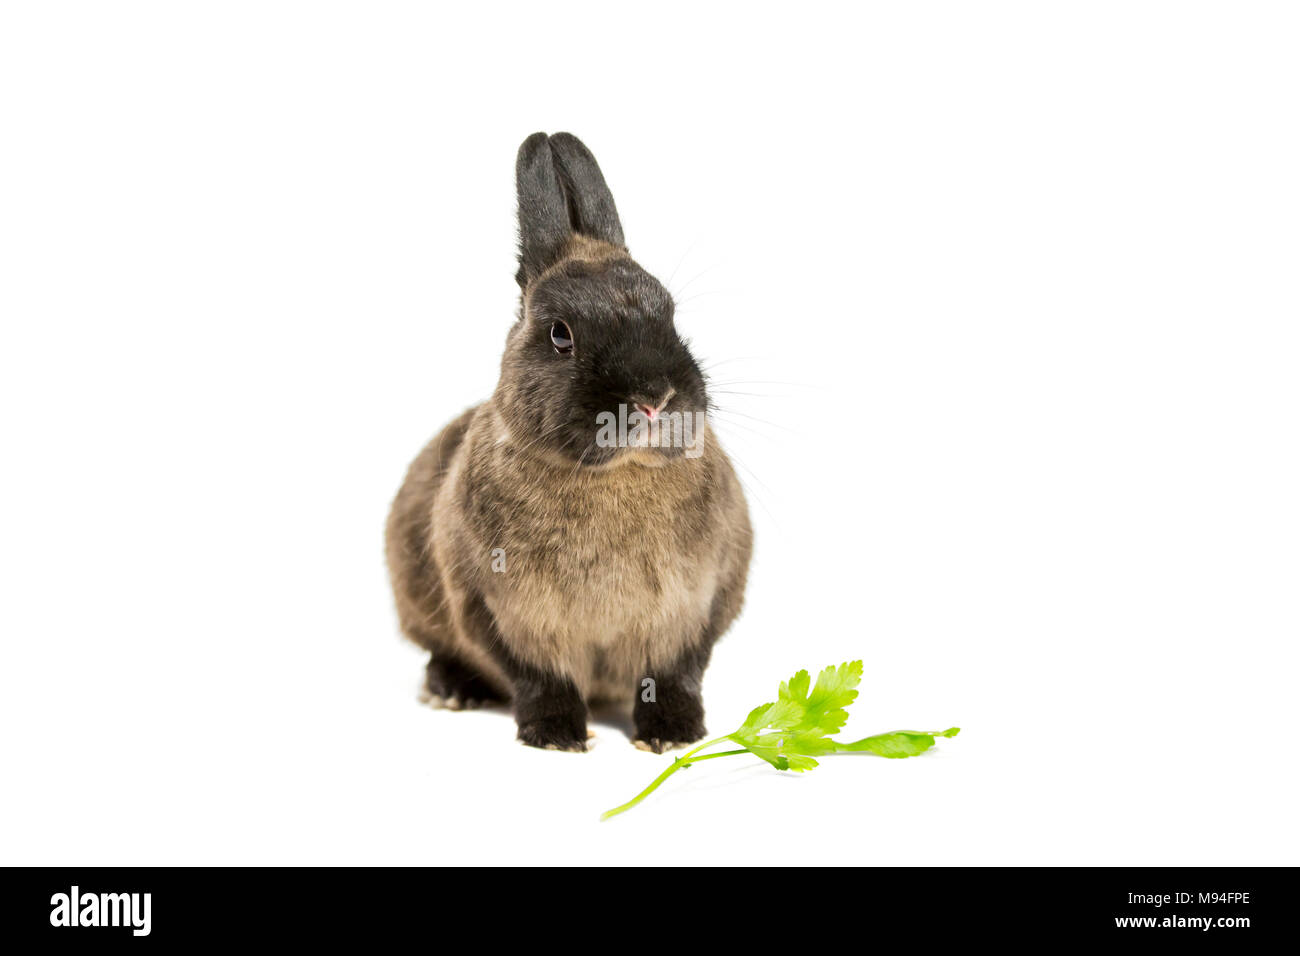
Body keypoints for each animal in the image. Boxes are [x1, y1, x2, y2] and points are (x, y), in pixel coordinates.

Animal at [385, 132, 752, 753]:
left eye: (671, 316)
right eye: (560, 335)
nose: (653, 398)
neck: (616, 477)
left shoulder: (698, 605)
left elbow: (675, 673)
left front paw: (673, 735)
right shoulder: (497, 609)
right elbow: (538, 677)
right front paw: (557, 735)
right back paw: (450, 689)